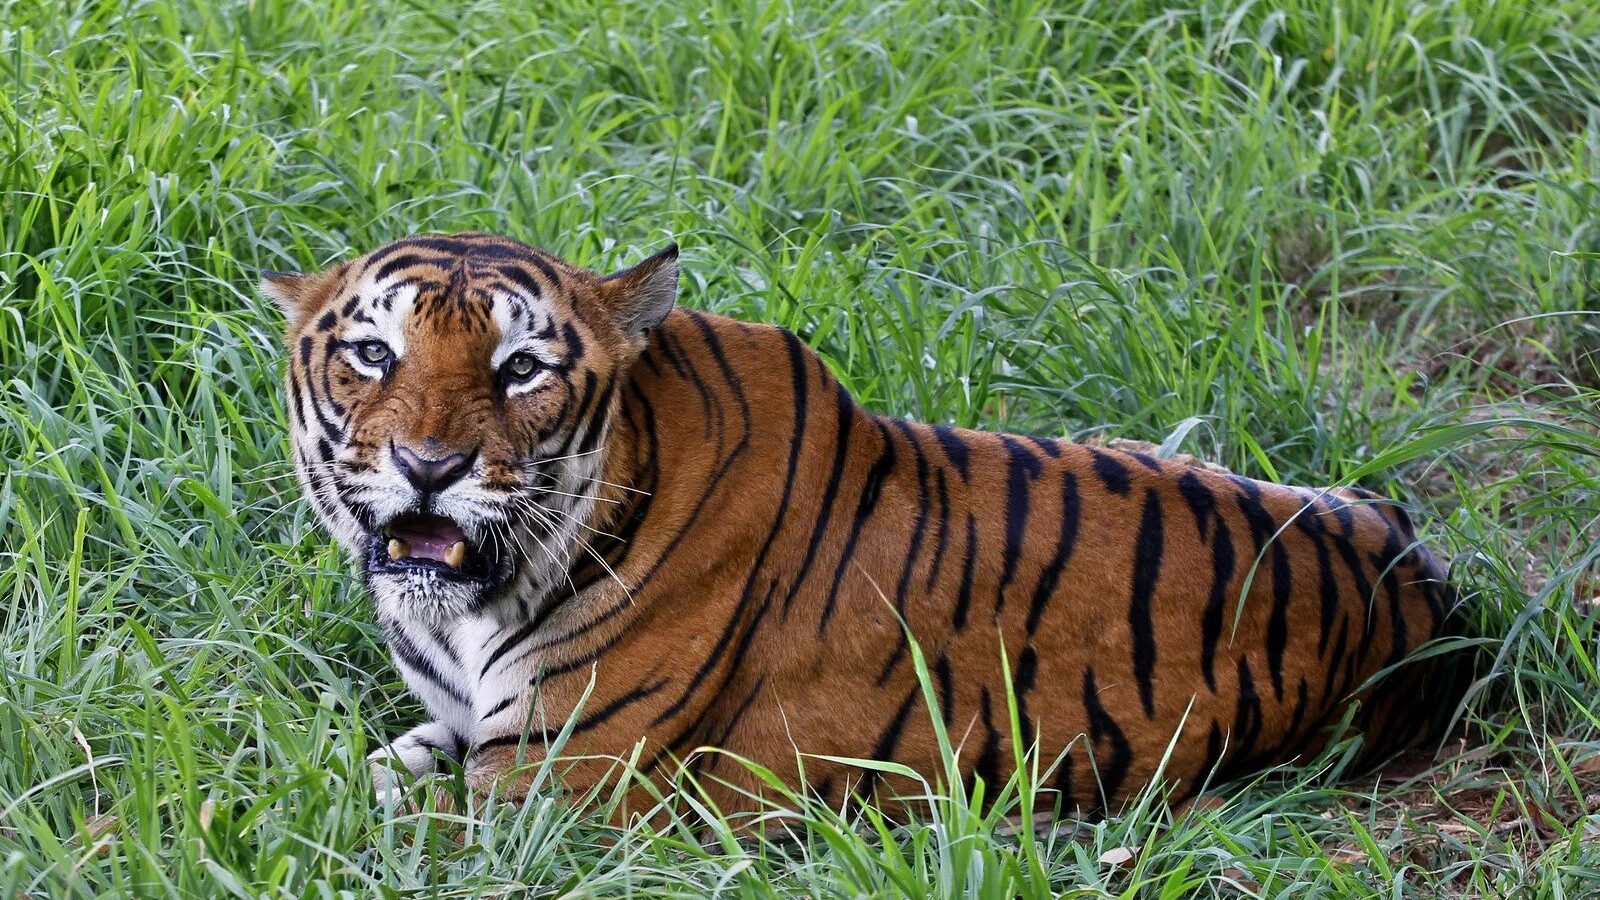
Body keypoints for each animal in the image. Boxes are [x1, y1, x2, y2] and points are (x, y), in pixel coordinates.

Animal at [264, 231, 1470, 819]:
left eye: (521, 369)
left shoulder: (553, 785)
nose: (430, 467)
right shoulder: (462, 734)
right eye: (373, 352)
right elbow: (341, 777)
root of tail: (1432, 575)